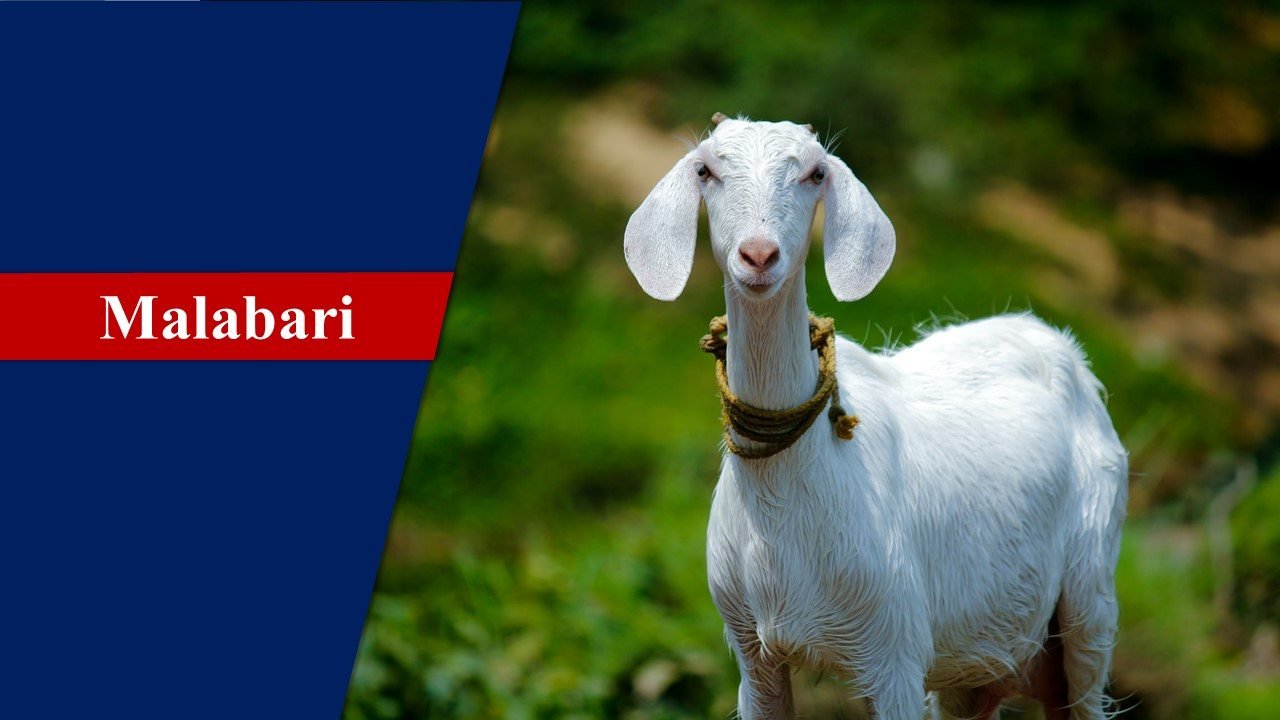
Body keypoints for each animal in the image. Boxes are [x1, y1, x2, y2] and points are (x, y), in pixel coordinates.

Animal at [623, 116, 1128, 720]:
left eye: (815, 173)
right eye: (705, 169)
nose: (759, 256)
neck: (788, 497)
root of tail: (1056, 341)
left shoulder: (895, 651)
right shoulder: (752, 652)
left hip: (1091, 598)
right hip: (976, 666)